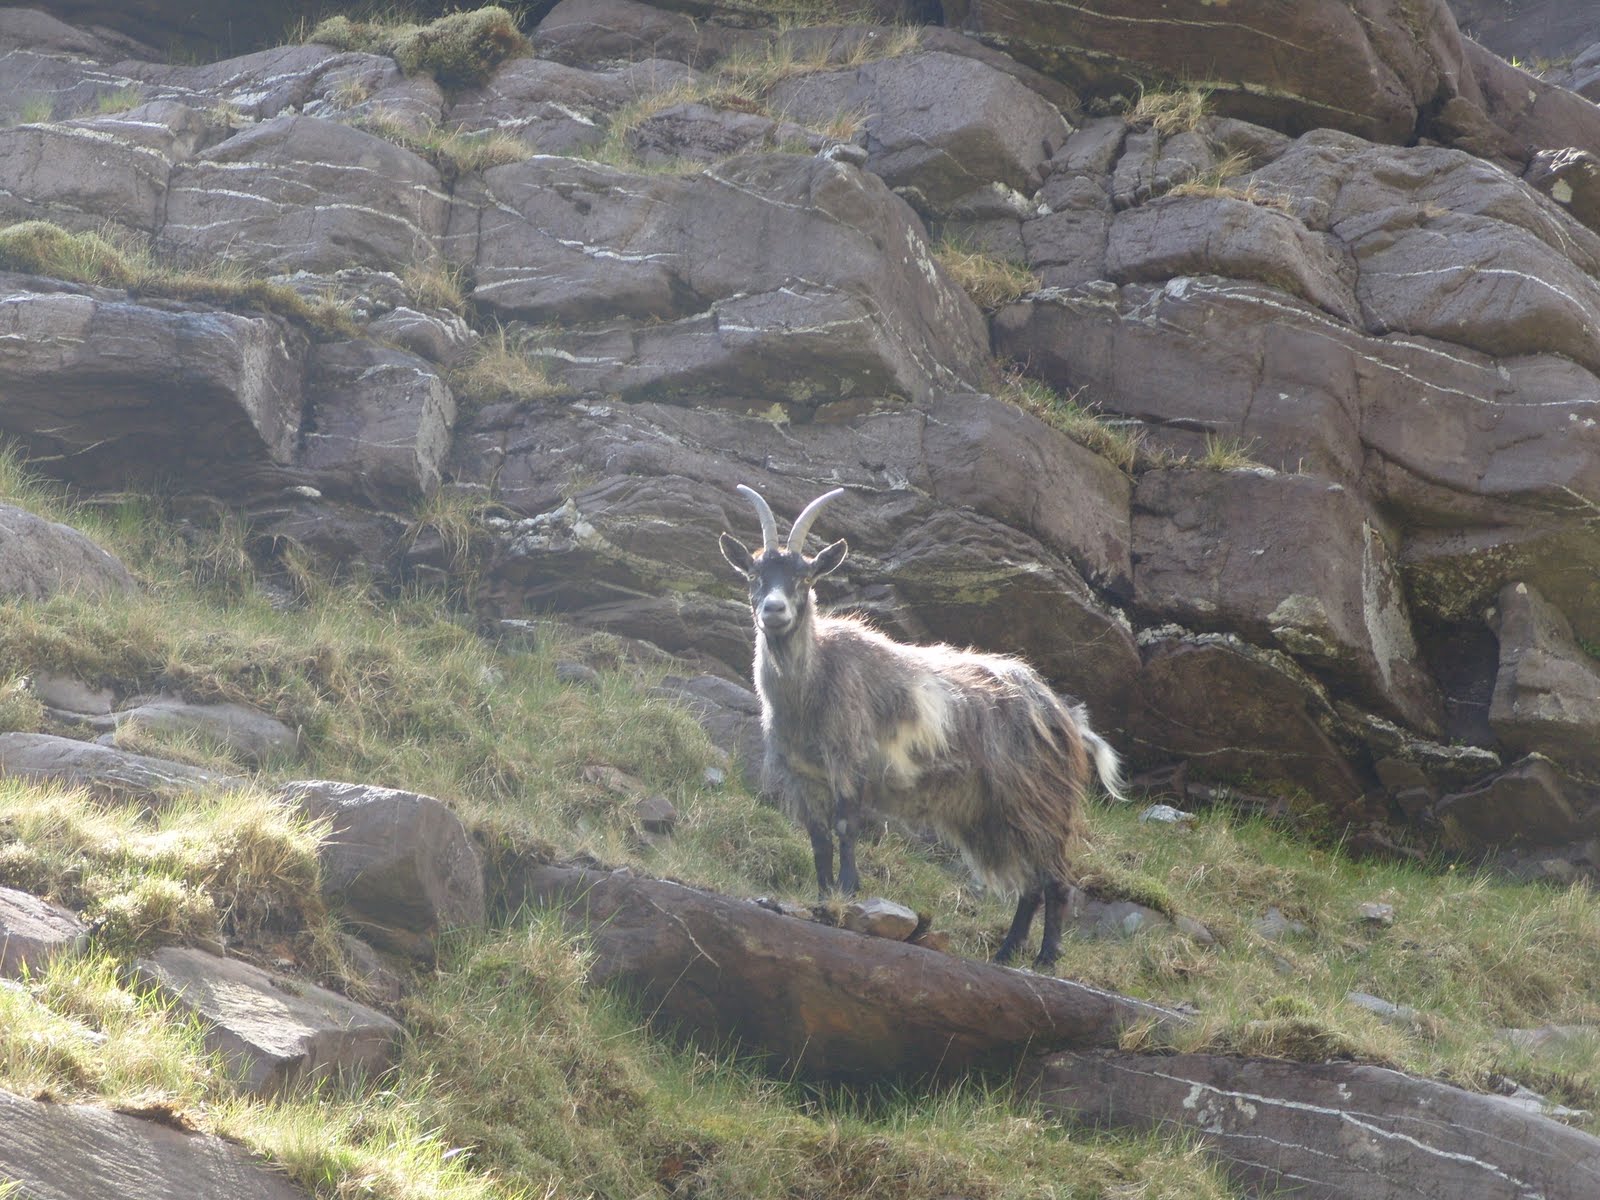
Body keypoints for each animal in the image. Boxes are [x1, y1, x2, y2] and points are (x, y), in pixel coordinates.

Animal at [719, 484, 1127, 968]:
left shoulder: (848, 760)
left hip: (1037, 801)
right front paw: (822, 897)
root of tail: (1066, 717)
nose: (774, 610)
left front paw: (848, 891)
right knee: (1030, 885)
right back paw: (1005, 953)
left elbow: (845, 827)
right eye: (753, 575)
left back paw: (1045, 958)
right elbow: (818, 839)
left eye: (805, 577)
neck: (815, 679)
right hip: (995, 813)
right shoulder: (803, 775)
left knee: (1055, 879)